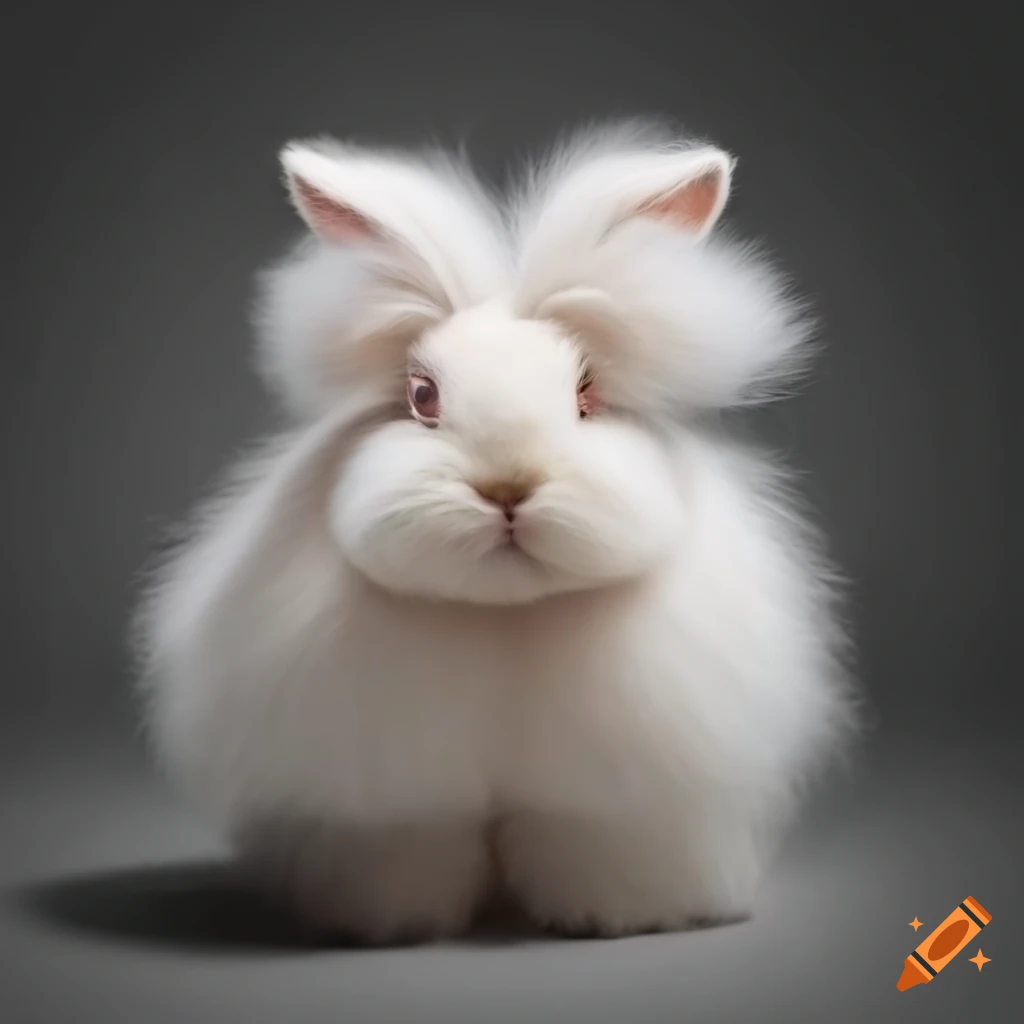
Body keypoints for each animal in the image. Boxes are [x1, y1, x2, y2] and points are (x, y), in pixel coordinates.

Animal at [134, 120, 853, 943]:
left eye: (586, 396)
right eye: (422, 397)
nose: (506, 487)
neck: (504, 615)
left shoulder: (618, 798)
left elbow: (607, 844)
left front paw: (619, 919)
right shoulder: (386, 800)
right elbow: (401, 851)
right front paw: (389, 922)